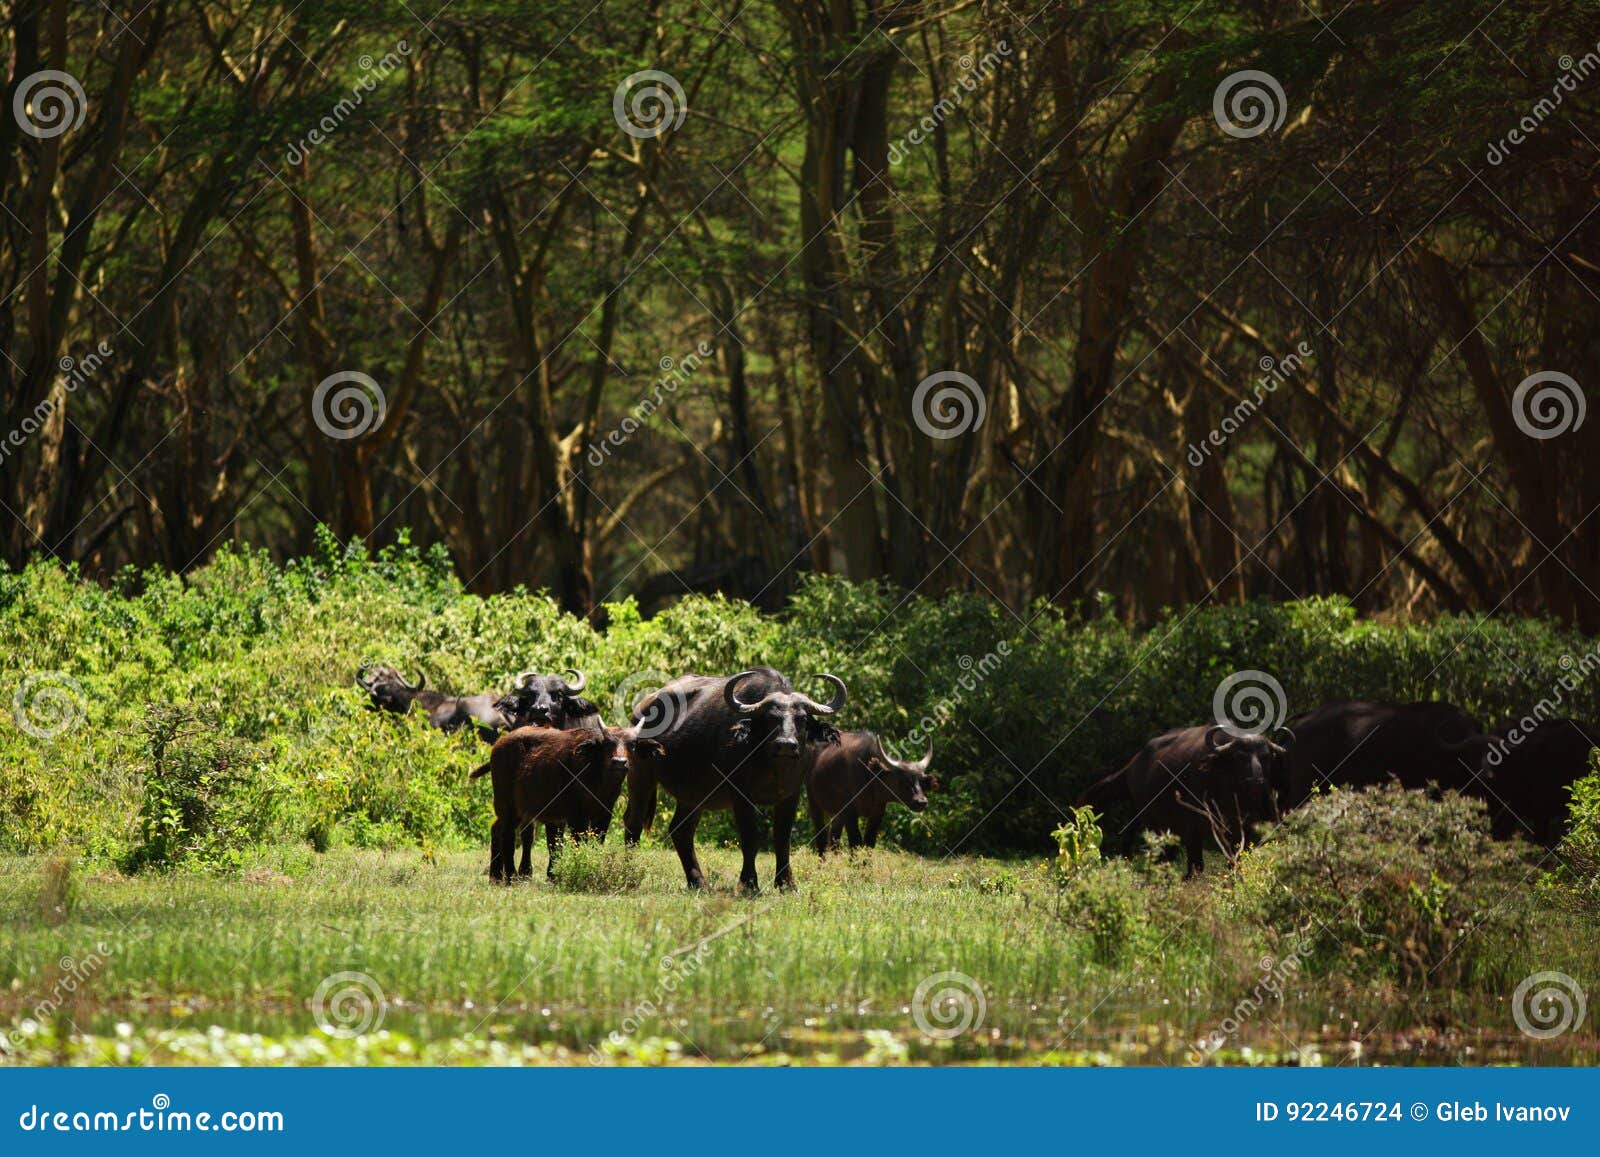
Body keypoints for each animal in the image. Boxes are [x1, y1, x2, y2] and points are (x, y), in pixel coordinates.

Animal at [471, 725, 664, 881]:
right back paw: (511, 877)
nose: (619, 762)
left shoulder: (603, 814)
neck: (597, 782)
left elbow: (592, 842)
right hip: (508, 806)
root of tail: (498, 746)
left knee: (497, 829)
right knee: (508, 836)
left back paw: (496, 876)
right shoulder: (575, 815)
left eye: (632, 745)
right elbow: (577, 842)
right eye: (607, 744)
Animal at [624, 667, 845, 892]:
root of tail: (641, 711)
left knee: (681, 831)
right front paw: (749, 883)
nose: (786, 744)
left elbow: (783, 839)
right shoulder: (740, 794)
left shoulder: (790, 795)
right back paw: (630, 873)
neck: (771, 767)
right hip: (640, 777)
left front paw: (786, 884)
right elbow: (750, 837)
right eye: (771, 718)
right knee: (633, 823)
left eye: (802, 719)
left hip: (693, 796)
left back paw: (698, 882)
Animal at [806, 732, 937, 854]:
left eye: (920, 780)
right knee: (821, 837)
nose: (921, 801)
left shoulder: (877, 812)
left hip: (837, 814)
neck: (869, 779)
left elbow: (869, 843)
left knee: (834, 839)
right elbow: (855, 842)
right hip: (814, 803)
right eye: (903, 780)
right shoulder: (849, 812)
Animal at [1089, 724, 1288, 876]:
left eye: (1266, 757)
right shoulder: (1192, 830)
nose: (1256, 779)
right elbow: (1196, 866)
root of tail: (1133, 764)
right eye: (1240, 757)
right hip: (1154, 825)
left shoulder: (1238, 830)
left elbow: (1233, 861)